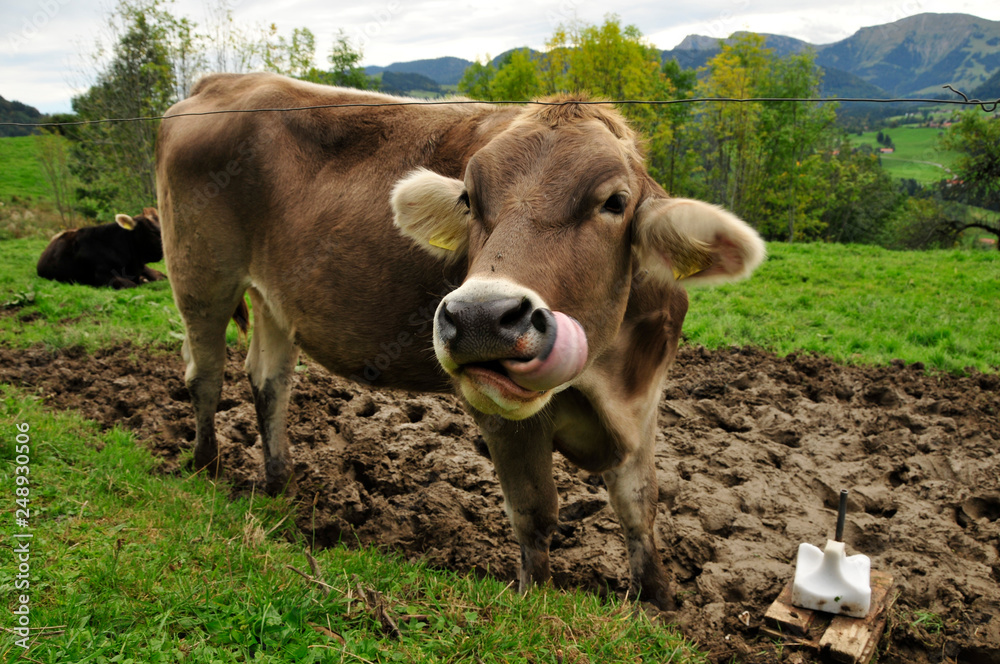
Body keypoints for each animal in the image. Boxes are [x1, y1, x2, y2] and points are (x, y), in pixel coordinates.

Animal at [156, 72, 765, 609]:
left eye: (615, 202)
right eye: (469, 199)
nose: (479, 319)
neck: (613, 373)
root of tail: (223, 82)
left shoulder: (644, 401)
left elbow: (641, 504)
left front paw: (660, 604)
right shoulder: (503, 414)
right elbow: (535, 512)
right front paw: (534, 600)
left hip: (275, 297)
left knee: (270, 382)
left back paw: (280, 484)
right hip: (199, 273)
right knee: (205, 373)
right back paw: (206, 468)